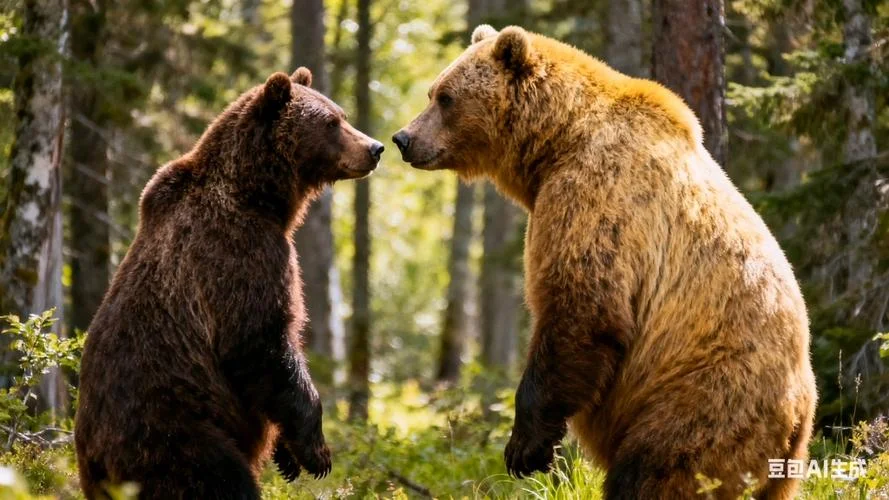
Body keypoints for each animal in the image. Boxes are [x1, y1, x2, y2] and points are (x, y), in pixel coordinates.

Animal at [74, 68, 384, 499]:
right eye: (331, 122)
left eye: (341, 113)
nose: (375, 148)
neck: (260, 196)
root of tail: (96, 464)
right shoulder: (241, 253)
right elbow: (261, 342)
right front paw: (316, 451)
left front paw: (287, 456)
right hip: (174, 433)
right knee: (216, 478)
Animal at [392, 25, 817, 500]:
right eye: (432, 92)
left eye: (446, 97)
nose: (403, 138)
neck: (556, 143)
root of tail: (799, 420)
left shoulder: (594, 194)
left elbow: (583, 308)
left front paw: (525, 448)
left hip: (705, 392)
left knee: (658, 465)